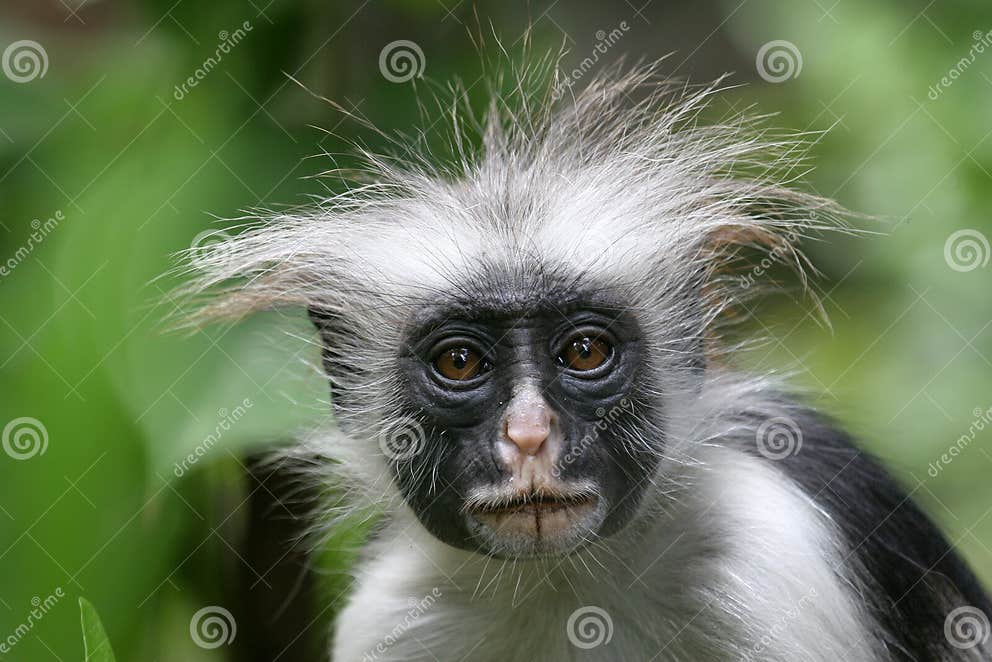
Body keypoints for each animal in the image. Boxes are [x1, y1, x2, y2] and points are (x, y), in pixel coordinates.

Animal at [184, 62, 992, 661]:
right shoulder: (390, 614)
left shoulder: (775, 556)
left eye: (584, 350)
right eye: (459, 363)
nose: (529, 436)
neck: (567, 582)